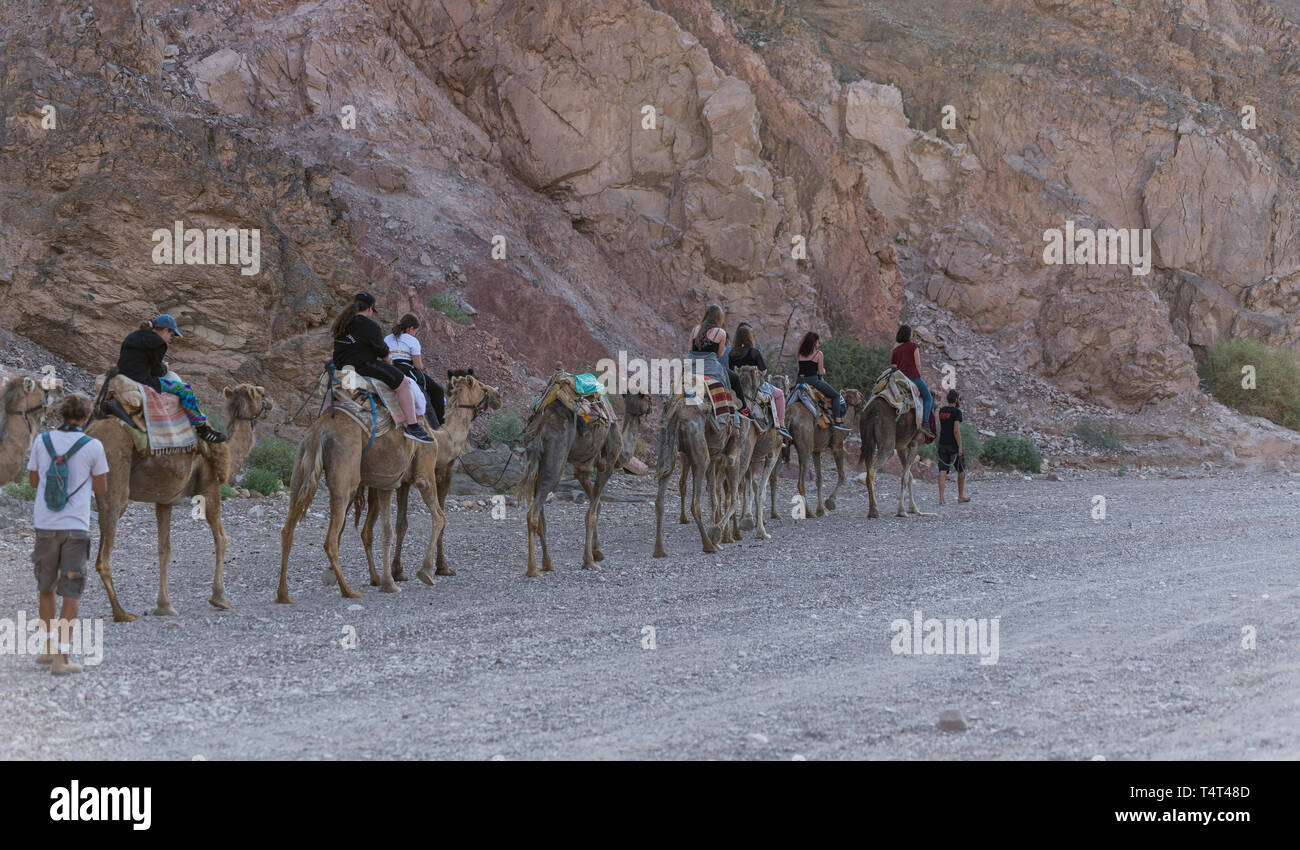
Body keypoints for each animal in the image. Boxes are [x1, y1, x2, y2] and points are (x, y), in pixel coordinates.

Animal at [88, 383, 273, 621]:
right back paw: (121, 613)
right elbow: (222, 539)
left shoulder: (164, 499)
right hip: (115, 485)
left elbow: (164, 549)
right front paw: (219, 597)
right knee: (103, 554)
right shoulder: (210, 487)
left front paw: (164, 605)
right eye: (259, 392)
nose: (270, 402)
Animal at [276, 384, 444, 603]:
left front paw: (388, 582)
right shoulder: (422, 473)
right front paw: (424, 572)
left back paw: (283, 594)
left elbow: (387, 530)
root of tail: (320, 431)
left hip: (300, 470)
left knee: (288, 530)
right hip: (345, 479)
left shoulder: (386, 483)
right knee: (330, 540)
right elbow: (438, 518)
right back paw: (348, 590)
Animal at [653, 378, 740, 557]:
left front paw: (717, 534)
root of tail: (677, 412)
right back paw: (708, 545)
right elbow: (734, 499)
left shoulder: (714, 459)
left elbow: (714, 497)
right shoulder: (733, 454)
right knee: (695, 504)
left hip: (667, 451)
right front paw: (716, 534)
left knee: (660, 501)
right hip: (700, 456)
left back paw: (659, 550)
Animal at [786, 386, 865, 518]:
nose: (864, 400)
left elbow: (819, 479)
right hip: (805, 448)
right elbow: (843, 476)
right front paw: (830, 502)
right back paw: (809, 513)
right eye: (858, 394)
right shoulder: (837, 445)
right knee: (800, 482)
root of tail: (790, 416)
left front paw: (820, 510)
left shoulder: (816, 450)